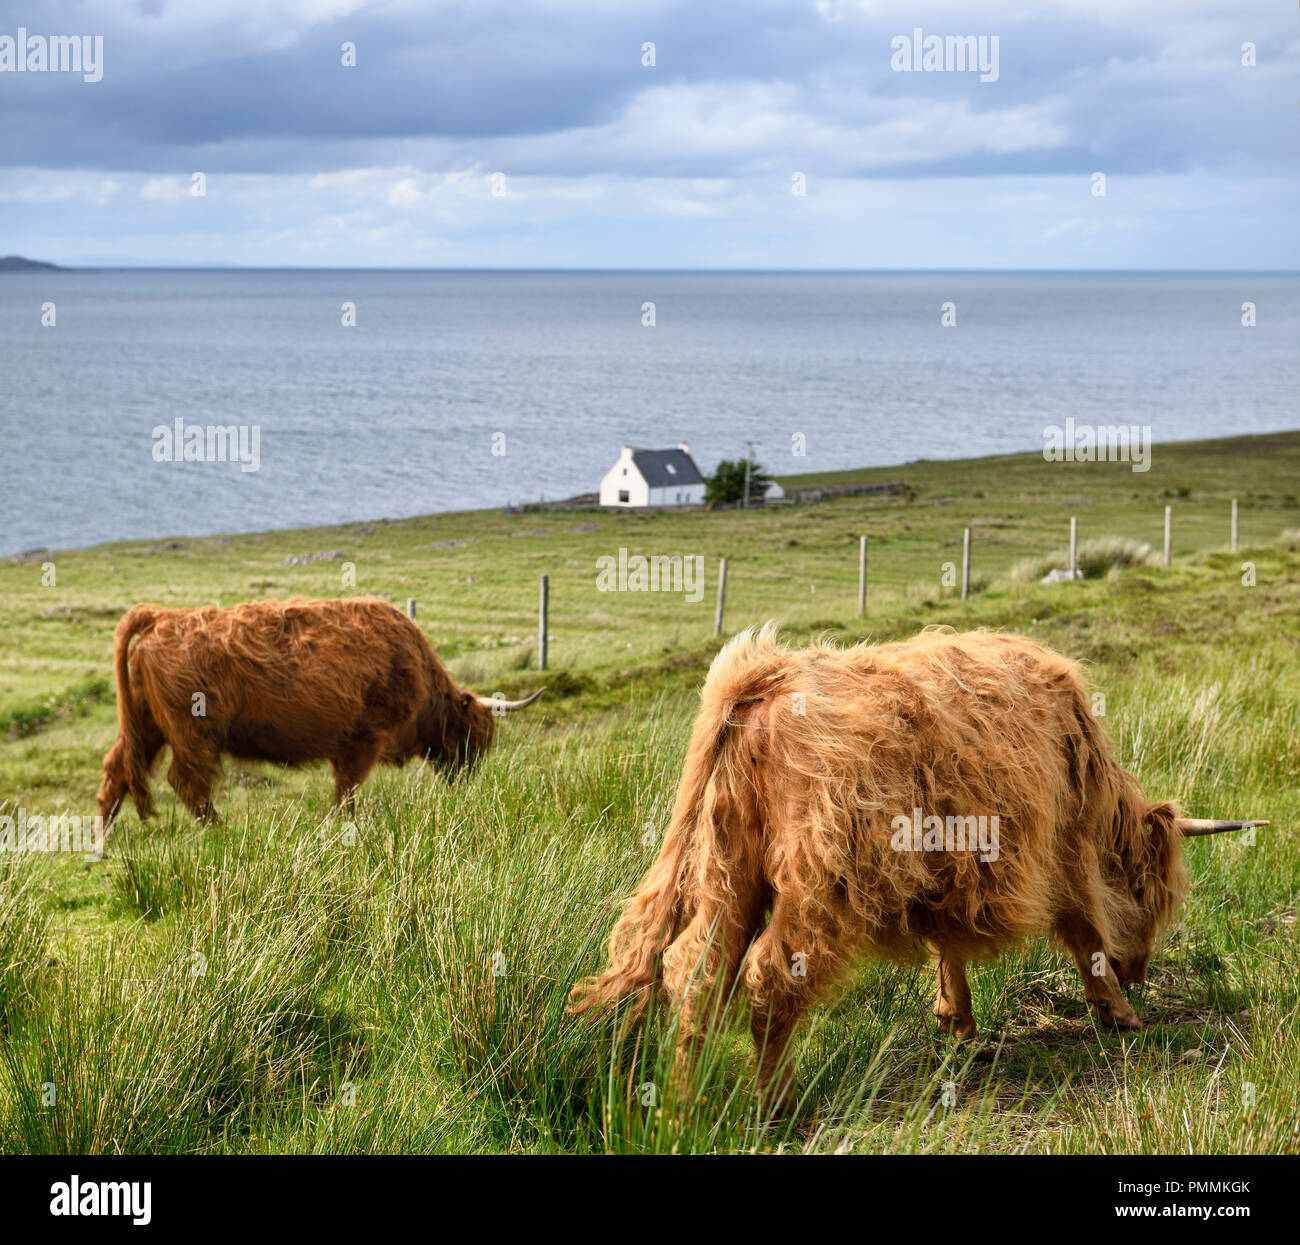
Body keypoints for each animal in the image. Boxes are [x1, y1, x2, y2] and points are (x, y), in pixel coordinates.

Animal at [95, 596, 543, 826]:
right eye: (477, 736)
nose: (469, 781)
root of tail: (160, 617)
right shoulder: (364, 738)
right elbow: (347, 790)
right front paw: (344, 827)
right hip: (192, 730)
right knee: (187, 781)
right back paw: (221, 831)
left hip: (146, 721)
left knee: (117, 771)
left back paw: (102, 842)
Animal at [569, 625, 1267, 1107]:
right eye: (1149, 892)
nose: (1140, 972)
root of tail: (763, 681)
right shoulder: (1062, 850)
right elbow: (1085, 931)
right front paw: (1118, 1013)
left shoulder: (946, 870)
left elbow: (947, 943)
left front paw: (956, 1019)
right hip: (816, 881)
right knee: (769, 977)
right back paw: (777, 1102)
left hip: (725, 866)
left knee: (698, 970)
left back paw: (682, 1105)